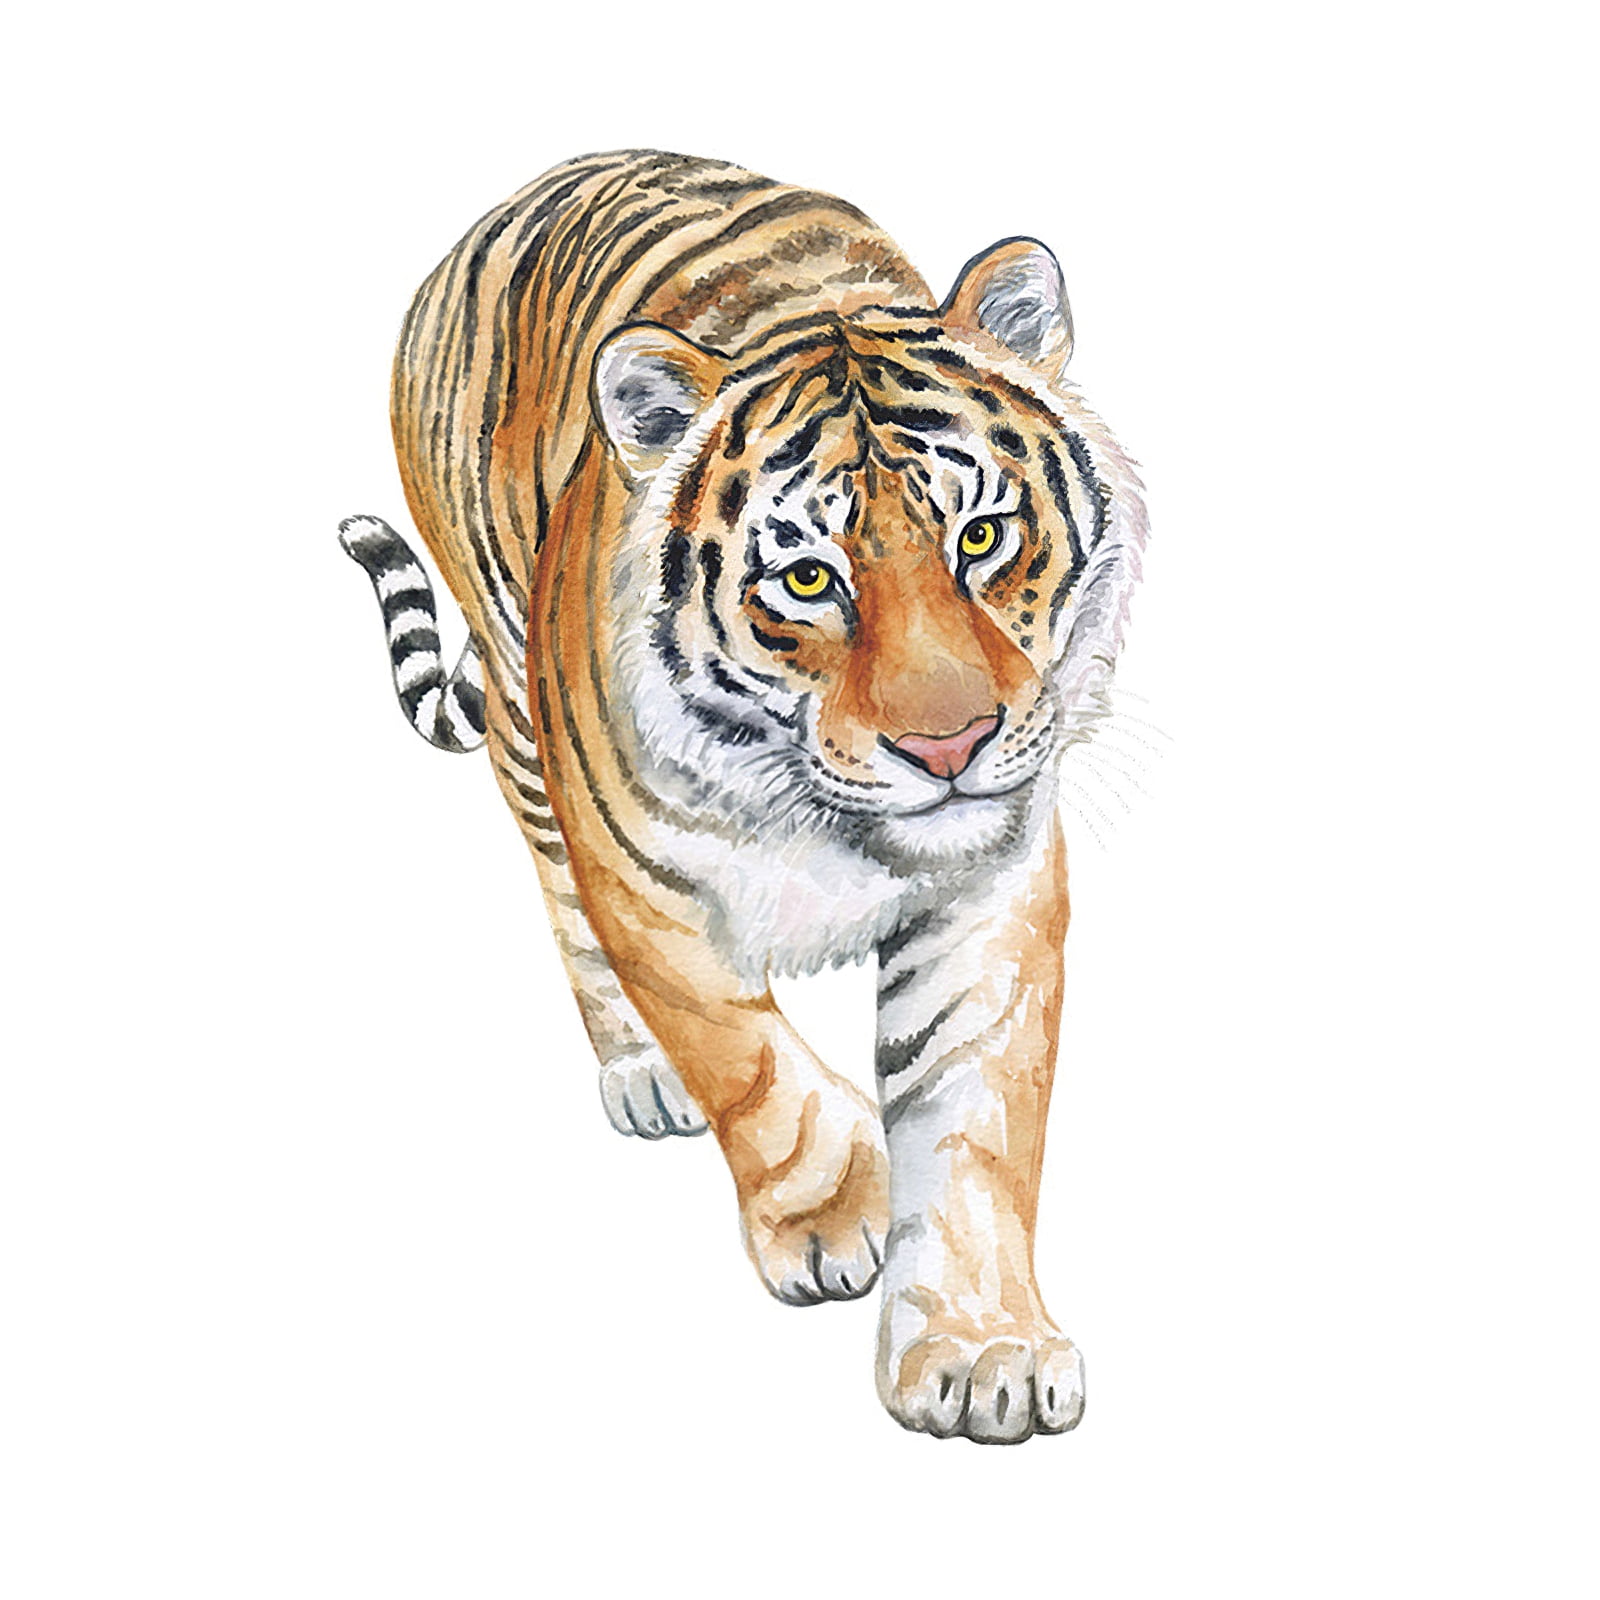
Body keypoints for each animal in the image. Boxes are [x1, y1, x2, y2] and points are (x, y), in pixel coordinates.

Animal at [340, 149, 1147, 1444]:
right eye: (807, 580)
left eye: (981, 538)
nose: (950, 746)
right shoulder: (640, 877)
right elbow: (745, 1059)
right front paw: (828, 1216)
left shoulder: (989, 885)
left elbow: (973, 1113)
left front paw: (983, 1349)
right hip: (519, 713)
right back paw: (643, 1076)